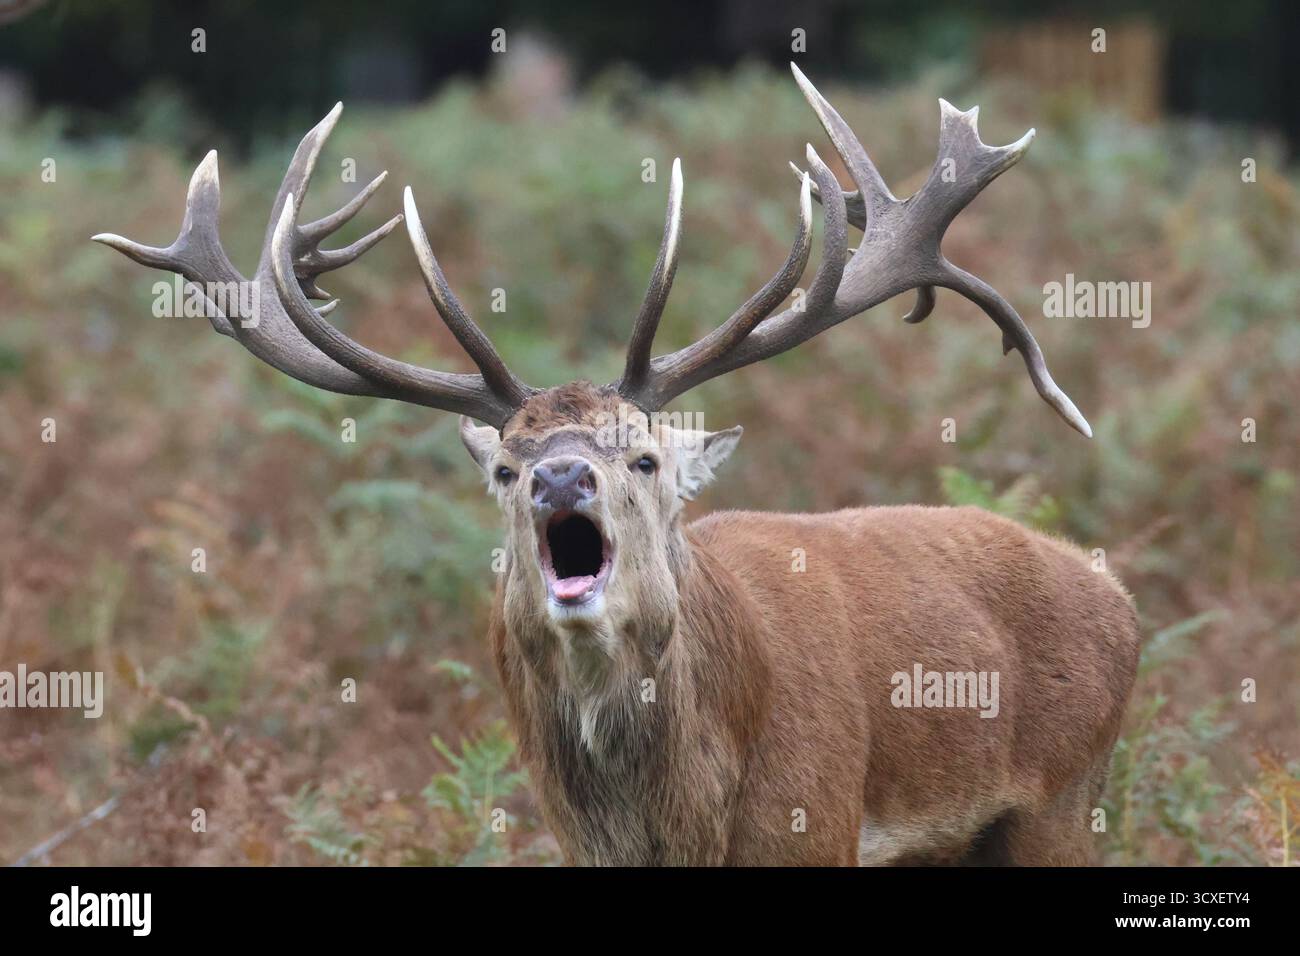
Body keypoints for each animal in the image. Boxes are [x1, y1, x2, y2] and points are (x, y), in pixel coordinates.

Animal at [94, 64, 1141, 866]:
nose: (562, 478)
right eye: (505, 469)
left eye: (641, 456)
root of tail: (1119, 595)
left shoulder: (814, 826)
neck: (675, 825)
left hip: (1061, 800)